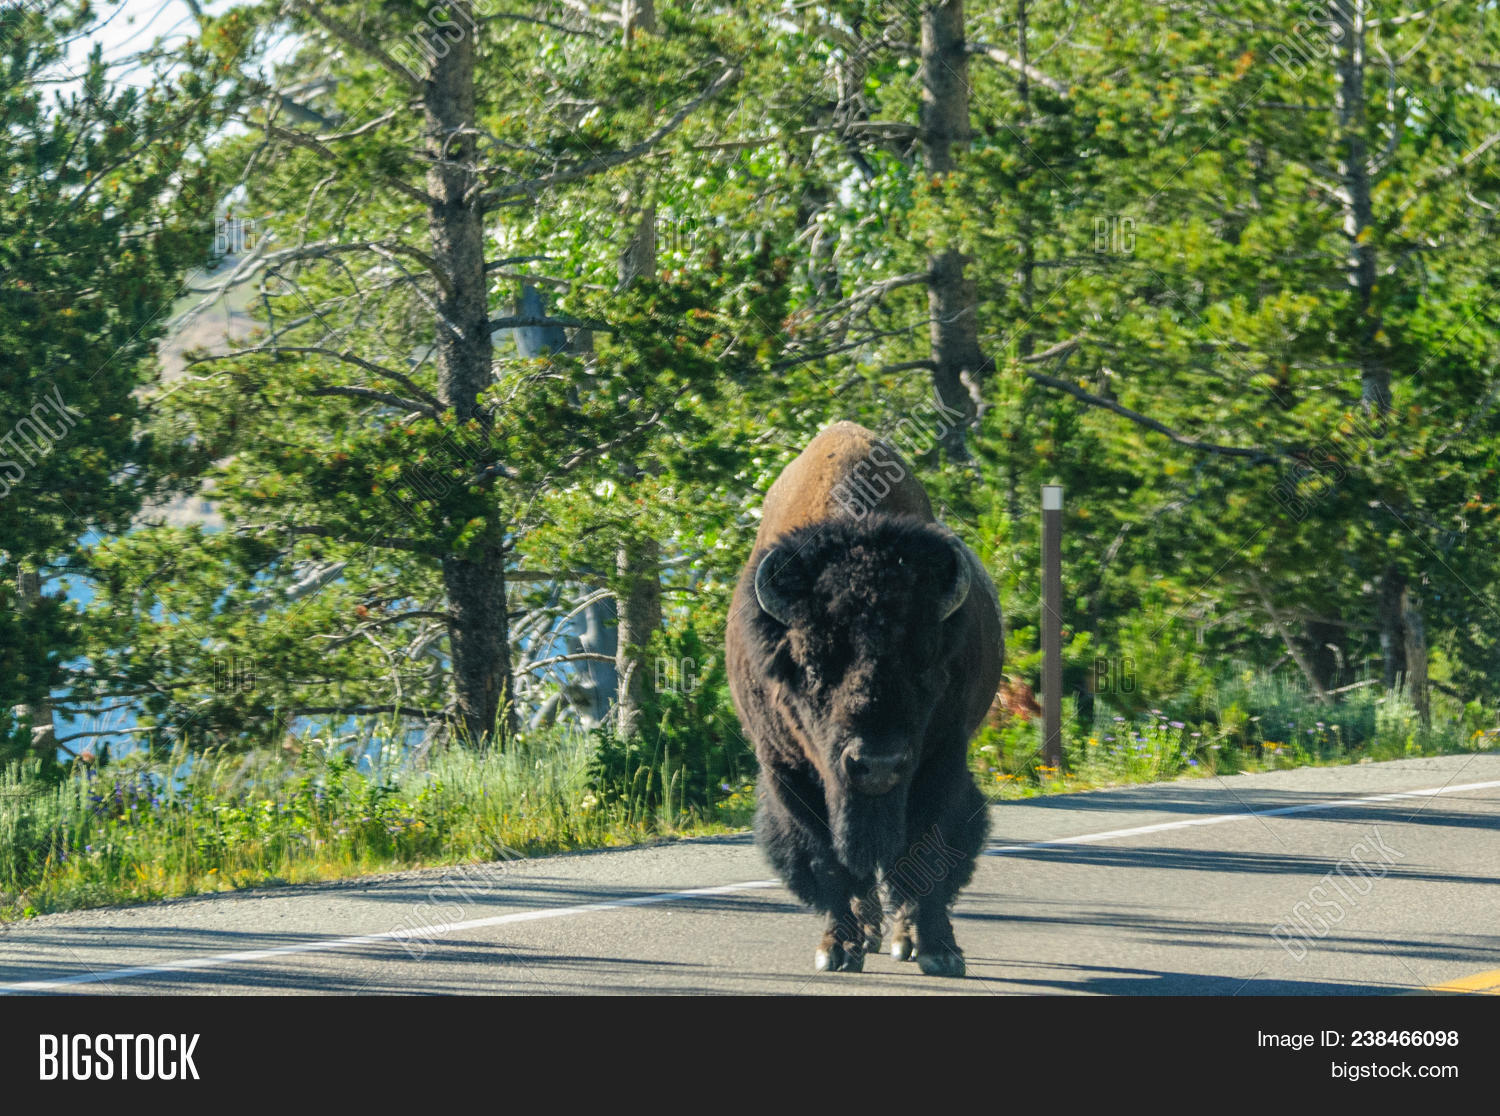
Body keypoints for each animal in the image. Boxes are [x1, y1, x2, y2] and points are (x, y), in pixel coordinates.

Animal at [725, 422, 1003, 976]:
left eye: (925, 663)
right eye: (811, 664)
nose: (875, 764)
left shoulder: (941, 760)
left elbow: (926, 852)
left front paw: (939, 950)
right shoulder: (787, 769)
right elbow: (826, 861)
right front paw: (836, 949)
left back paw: (902, 939)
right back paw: (868, 936)